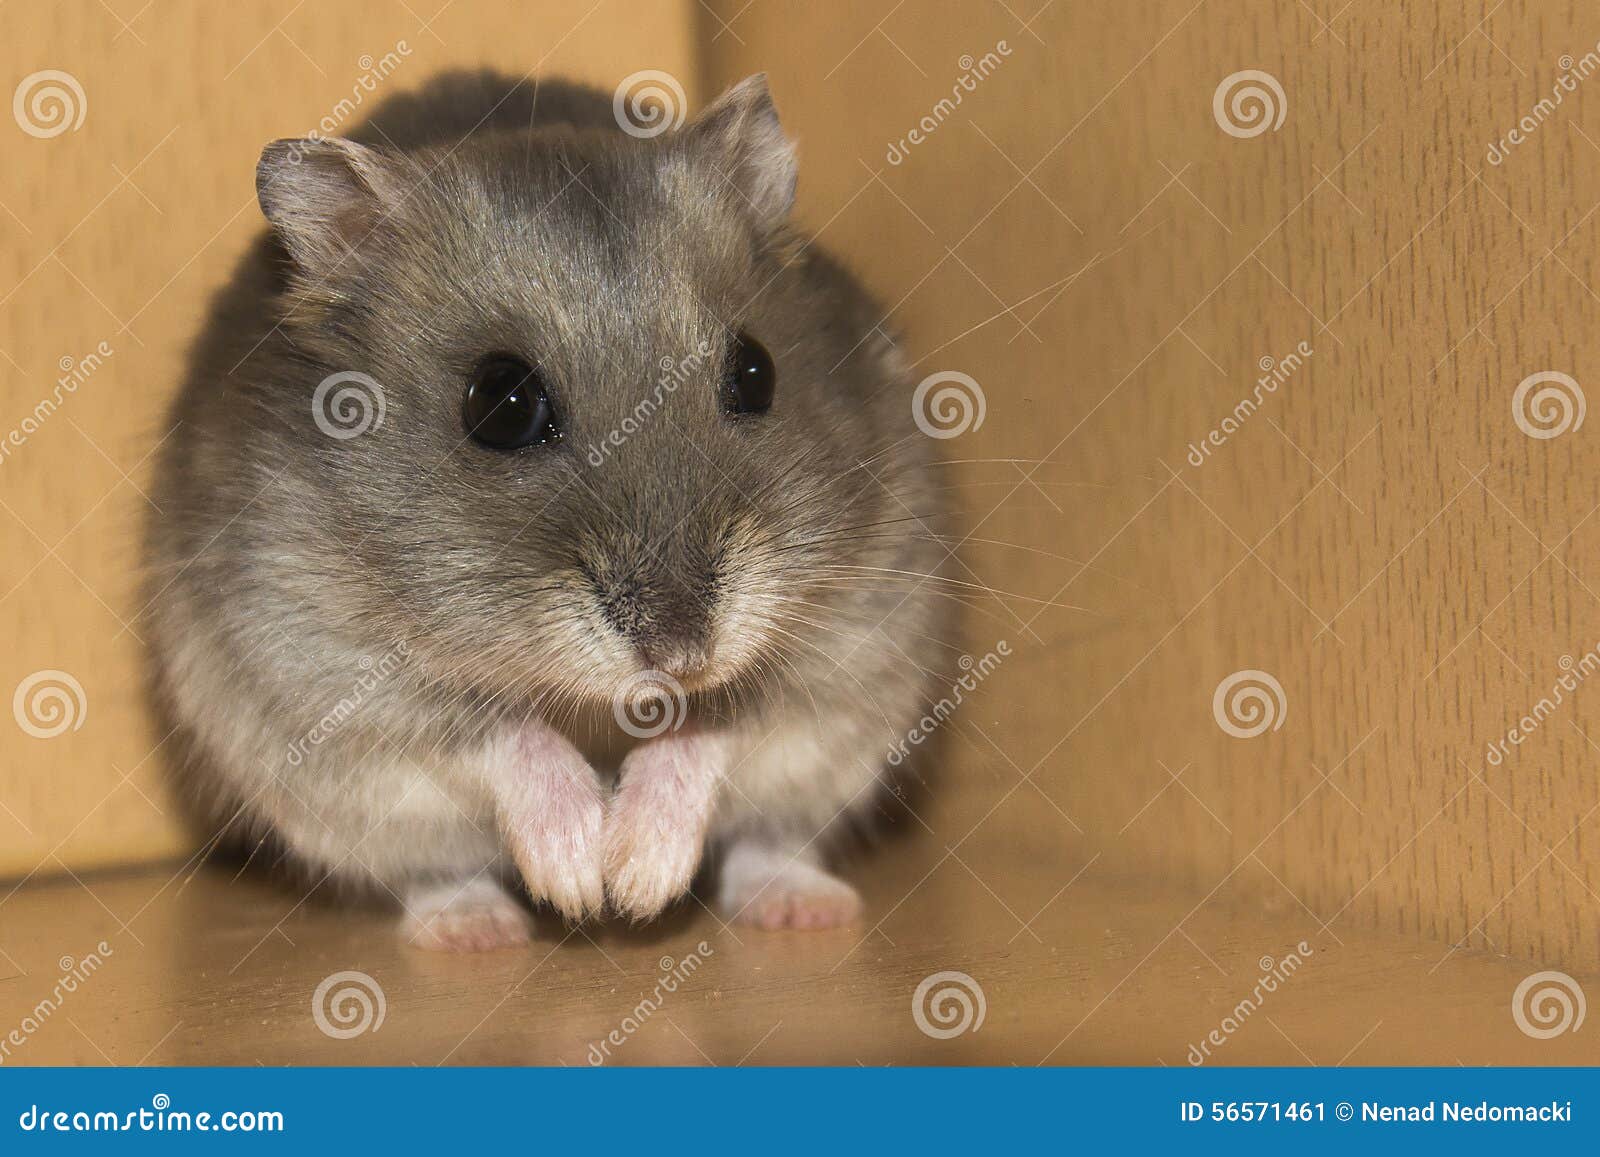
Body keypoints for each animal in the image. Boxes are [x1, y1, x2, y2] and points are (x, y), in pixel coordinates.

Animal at [144, 71, 954, 951]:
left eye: (756, 370)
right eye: (500, 404)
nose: (682, 654)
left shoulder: (850, 639)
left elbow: (715, 727)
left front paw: (633, 879)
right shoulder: (321, 666)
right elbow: (503, 732)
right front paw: (580, 879)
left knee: (769, 845)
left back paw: (805, 910)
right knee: (434, 873)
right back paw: (478, 930)